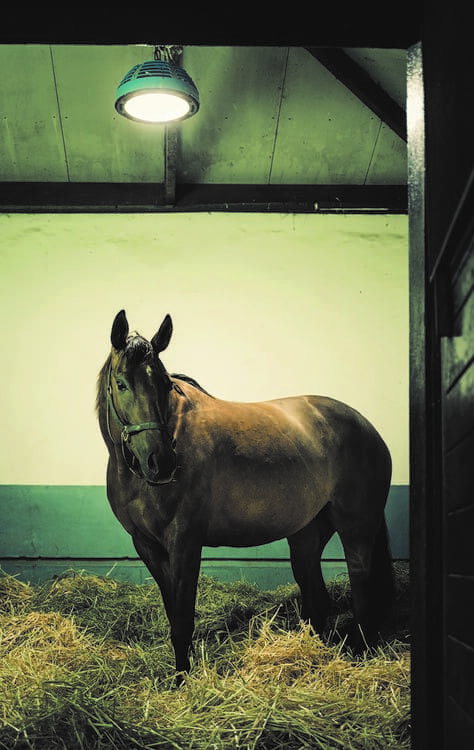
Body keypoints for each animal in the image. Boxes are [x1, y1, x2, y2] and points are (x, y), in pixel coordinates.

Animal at [96, 310, 394, 678]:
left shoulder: (185, 542)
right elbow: (172, 613)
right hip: (307, 535)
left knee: (362, 589)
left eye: (165, 384)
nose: (161, 462)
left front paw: (184, 680)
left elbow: (183, 619)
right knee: (317, 600)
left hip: (356, 530)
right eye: (122, 383)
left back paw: (358, 654)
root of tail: (366, 427)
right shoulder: (147, 546)